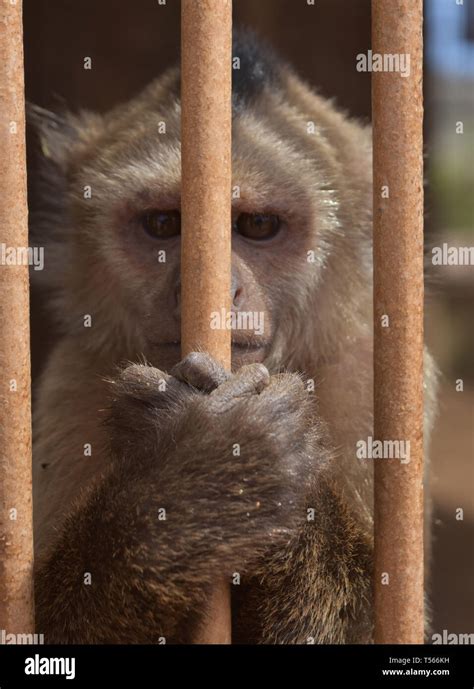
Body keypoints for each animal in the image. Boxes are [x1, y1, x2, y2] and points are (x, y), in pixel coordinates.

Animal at [29, 31, 438, 644]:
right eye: (162, 225)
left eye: (258, 226)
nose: (217, 286)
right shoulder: (75, 375)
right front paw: (197, 474)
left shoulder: (368, 374)